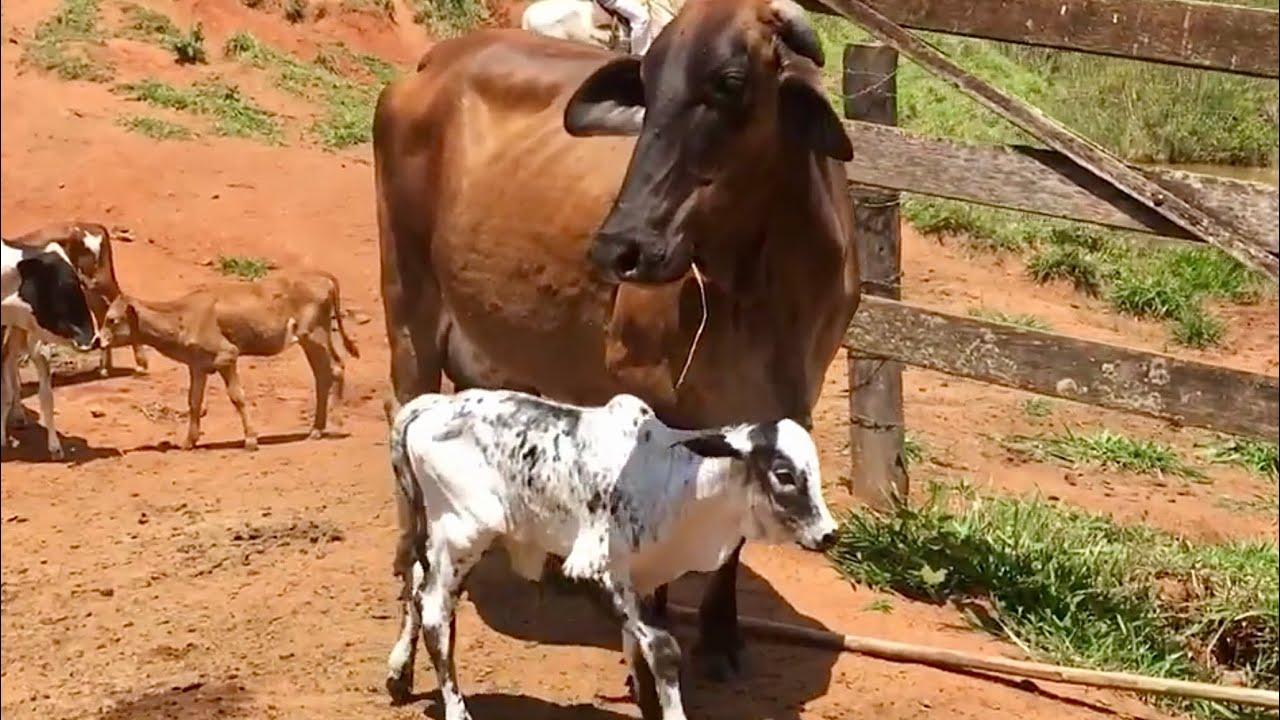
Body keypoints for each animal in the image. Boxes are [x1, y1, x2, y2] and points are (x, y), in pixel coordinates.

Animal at [95, 270, 360, 451]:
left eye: (112, 319)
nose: (97, 341)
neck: (182, 317)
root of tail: (322, 276)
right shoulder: (198, 366)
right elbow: (194, 402)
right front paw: (189, 442)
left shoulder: (227, 356)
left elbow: (237, 397)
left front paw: (251, 439)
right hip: (311, 340)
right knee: (323, 376)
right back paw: (316, 430)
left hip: (315, 336)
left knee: (336, 368)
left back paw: (334, 425)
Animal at [375, 0, 858, 682]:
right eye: (647, 86)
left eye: (731, 82)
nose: (620, 246)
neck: (758, 285)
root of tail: (434, 61)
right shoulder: (649, 394)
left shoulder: (784, 402)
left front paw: (721, 636)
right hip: (409, 307)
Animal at [384, 389, 838, 720]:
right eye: (783, 474)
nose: (829, 534)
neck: (673, 482)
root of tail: (430, 406)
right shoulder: (596, 572)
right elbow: (663, 650)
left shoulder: (644, 580)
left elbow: (637, 644)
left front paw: (644, 698)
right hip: (461, 535)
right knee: (436, 615)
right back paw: (456, 710)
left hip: (435, 536)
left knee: (414, 584)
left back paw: (398, 674)